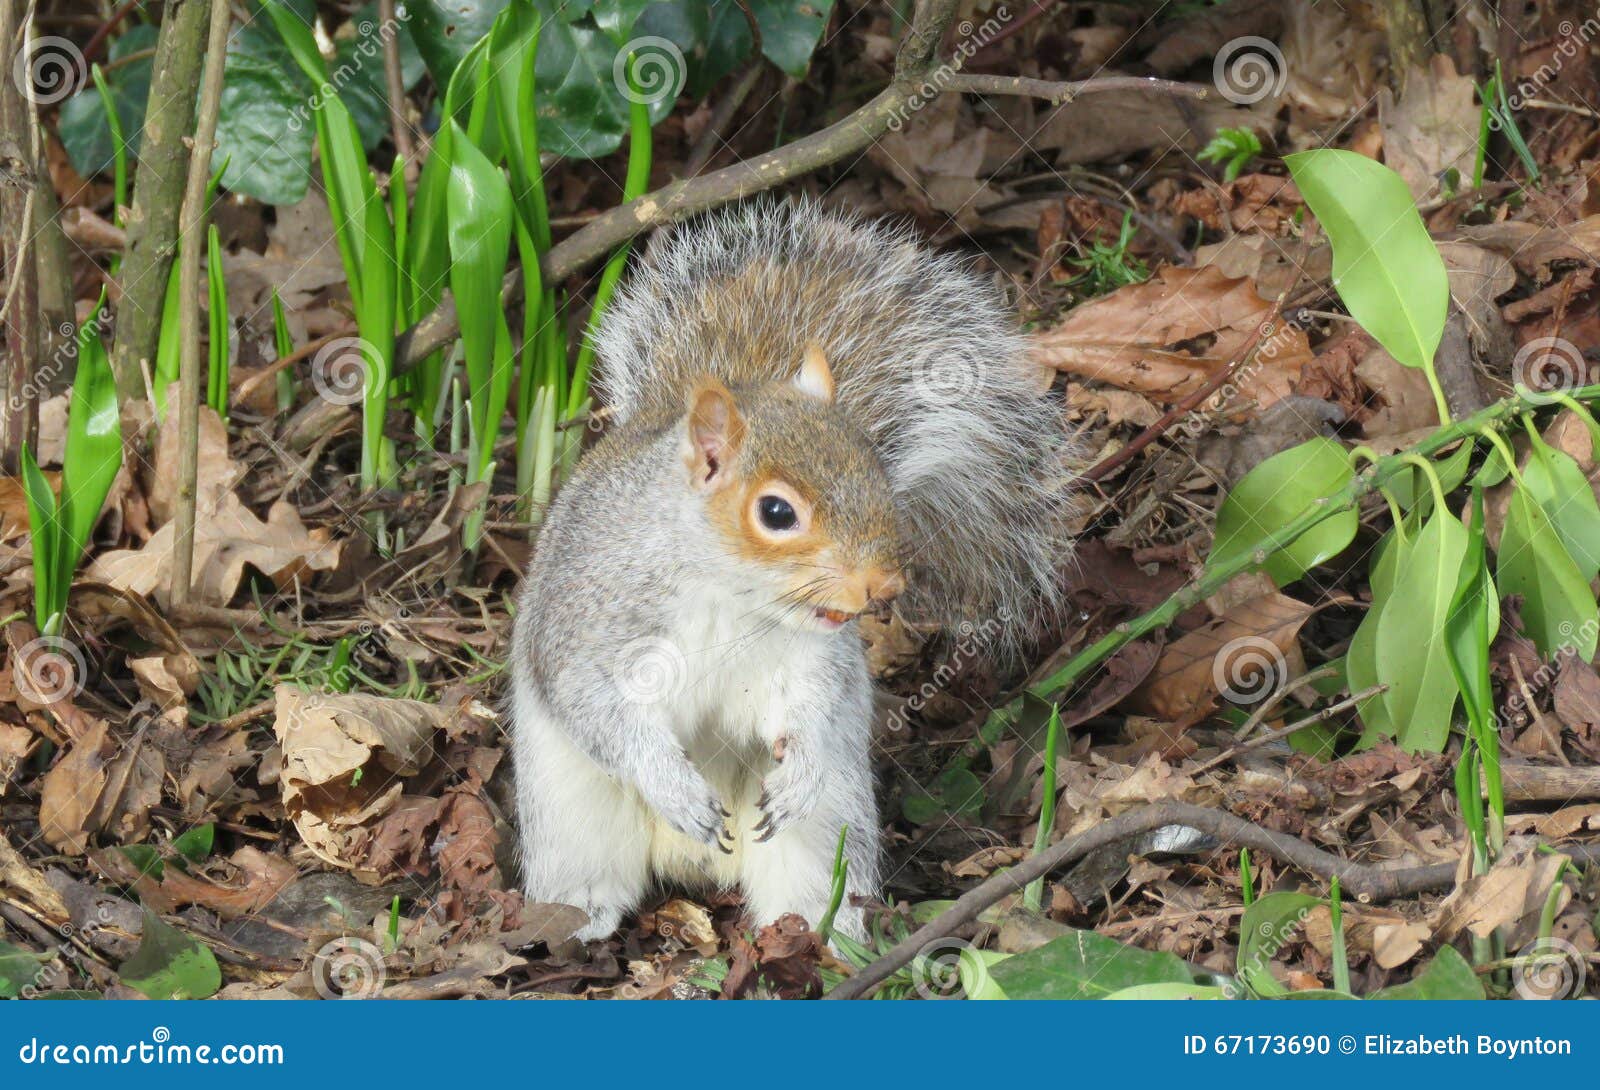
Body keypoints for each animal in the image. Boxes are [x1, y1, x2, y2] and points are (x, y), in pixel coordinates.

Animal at [509, 198, 1071, 941]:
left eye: (876, 472)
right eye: (776, 512)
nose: (884, 585)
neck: (727, 593)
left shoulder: (806, 657)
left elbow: (810, 705)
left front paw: (798, 765)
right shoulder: (590, 626)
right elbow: (598, 710)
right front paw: (673, 786)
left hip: (833, 816)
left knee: (809, 869)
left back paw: (820, 934)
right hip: (571, 813)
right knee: (589, 873)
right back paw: (575, 925)